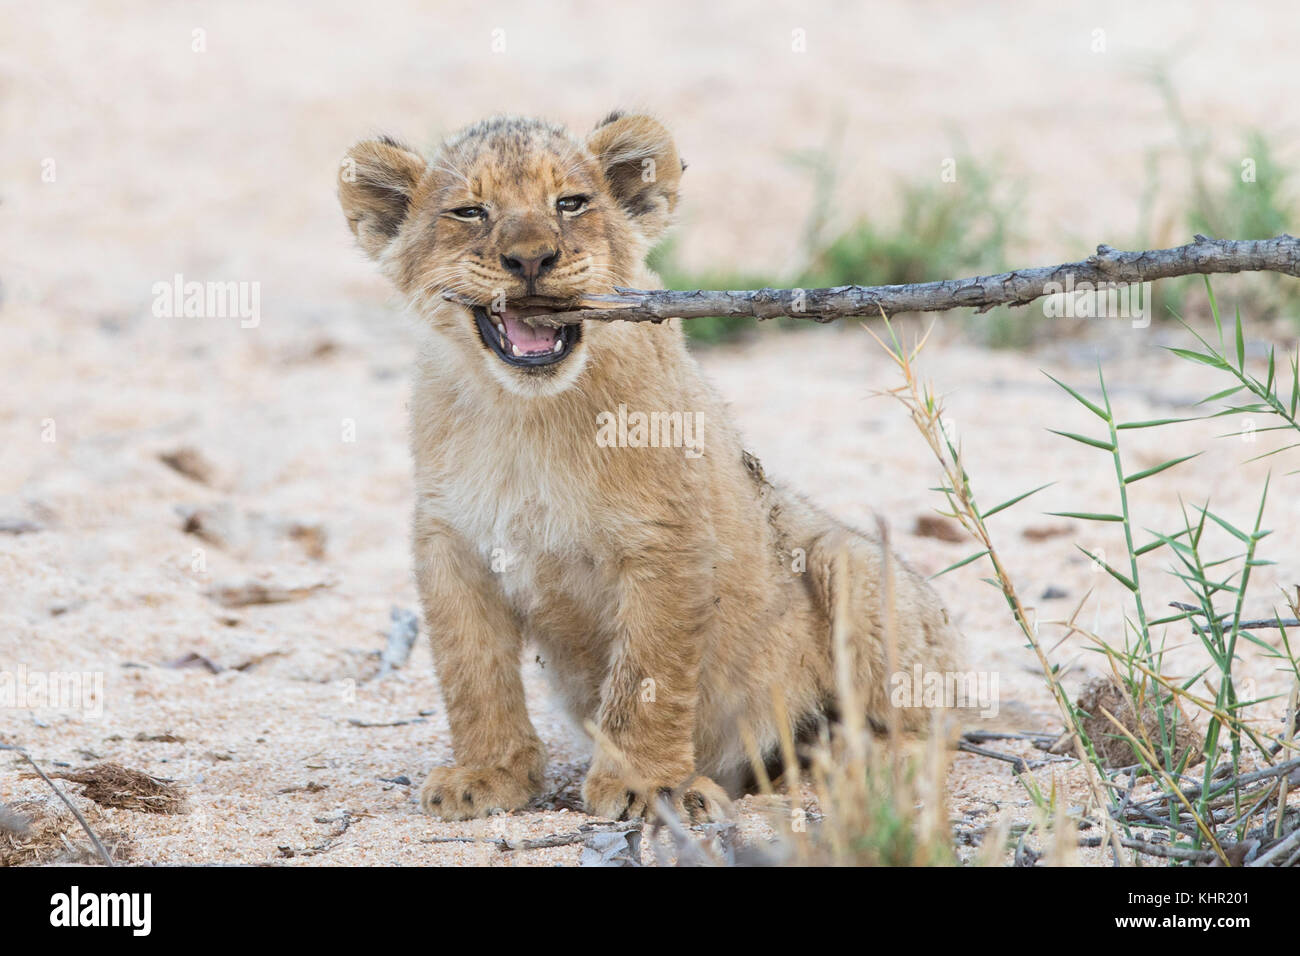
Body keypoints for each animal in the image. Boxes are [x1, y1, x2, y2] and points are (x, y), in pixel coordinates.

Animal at [338, 112, 964, 822]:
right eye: (470, 211)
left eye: (571, 203)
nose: (530, 259)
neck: (527, 413)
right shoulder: (451, 543)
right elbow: (471, 672)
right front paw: (487, 774)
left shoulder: (667, 539)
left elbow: (648, 674)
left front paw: (645, 787)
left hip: (847, 560)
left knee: (932, 724)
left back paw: (864, 762)